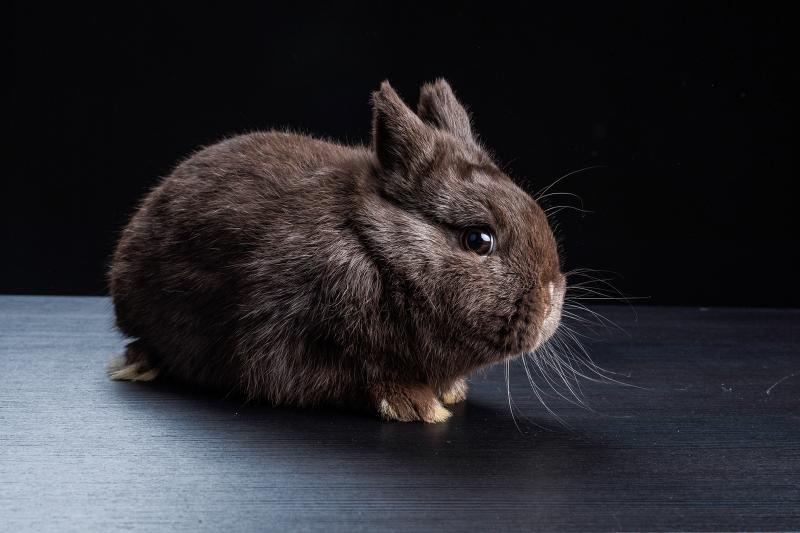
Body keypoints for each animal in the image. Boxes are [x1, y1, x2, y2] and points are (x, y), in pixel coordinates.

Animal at [107, 79, 566, 423]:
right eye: (478, 239)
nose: (550, 298)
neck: (378, 252)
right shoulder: (287, 339)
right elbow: (358, 379)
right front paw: (418, 405)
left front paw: (450, 392)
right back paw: (138, 363)